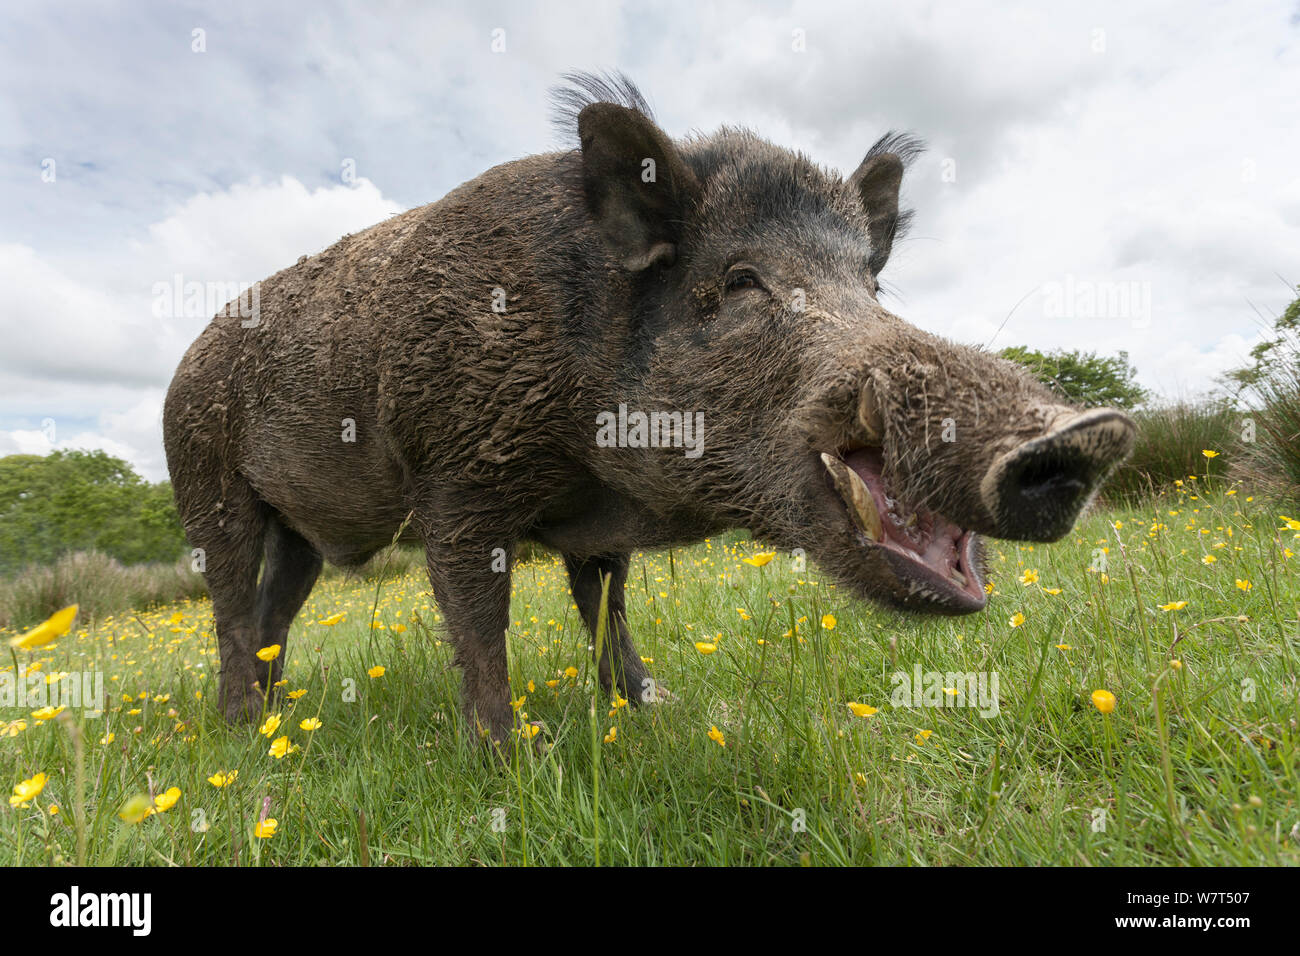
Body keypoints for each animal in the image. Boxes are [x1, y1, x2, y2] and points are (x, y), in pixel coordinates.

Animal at [163, 72, 1135, 746]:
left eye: (870, 283)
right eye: (741, 282)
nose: (1084, 434)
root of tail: (183, 364)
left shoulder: (598, 528)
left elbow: (609, 611)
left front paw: (655, 707)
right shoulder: (456, 476)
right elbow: (479, 619)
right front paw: (515, 757)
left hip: (296, 530)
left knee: (274, 611)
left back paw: (282, 716)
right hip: (204, 476)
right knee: (230, 601)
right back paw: (244, 732)